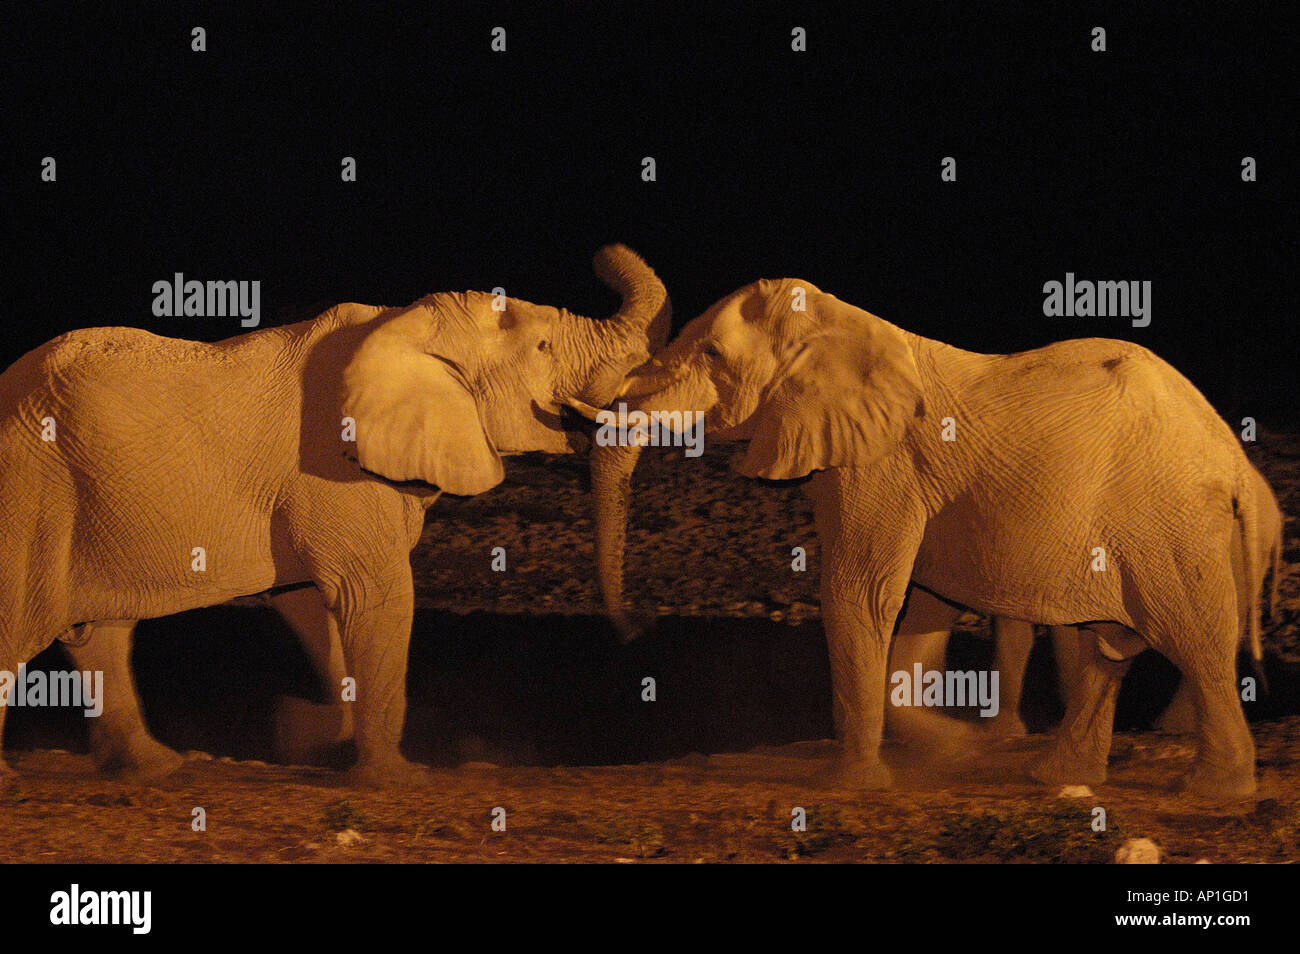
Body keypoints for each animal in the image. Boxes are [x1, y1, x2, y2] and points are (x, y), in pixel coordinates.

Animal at [0, 245, 669, 784]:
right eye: (543, 347)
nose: (637, 634)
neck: (402, 323)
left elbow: (307, 600)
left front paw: (313, 734)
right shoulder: (332, 469)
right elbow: (376, 597)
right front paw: (394, 779)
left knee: (101, 636)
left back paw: (157, 768)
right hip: (31, 489)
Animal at [588, 277, 1264, 800]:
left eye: (712, 353)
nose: (637, 630)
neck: (835, 323)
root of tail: (1230, 455)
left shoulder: (883, 465)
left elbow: (859, 595)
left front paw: (858, 784)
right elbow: (925, 606)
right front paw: (958, 747)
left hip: (1167, 520)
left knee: (1193, 637)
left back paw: (1214, 791)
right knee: (1108, 647)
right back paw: (1058, 777)